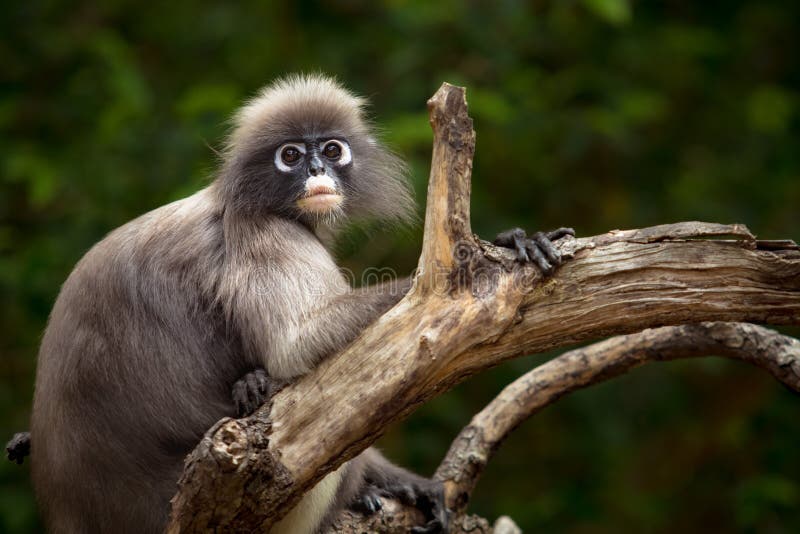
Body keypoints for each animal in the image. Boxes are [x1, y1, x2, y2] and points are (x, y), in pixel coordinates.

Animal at [25, 74, 571, 533]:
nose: (315, 168)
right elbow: (296, 344)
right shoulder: (264, 234)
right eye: (290, 155)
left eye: (331, 149)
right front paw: (480, 264)